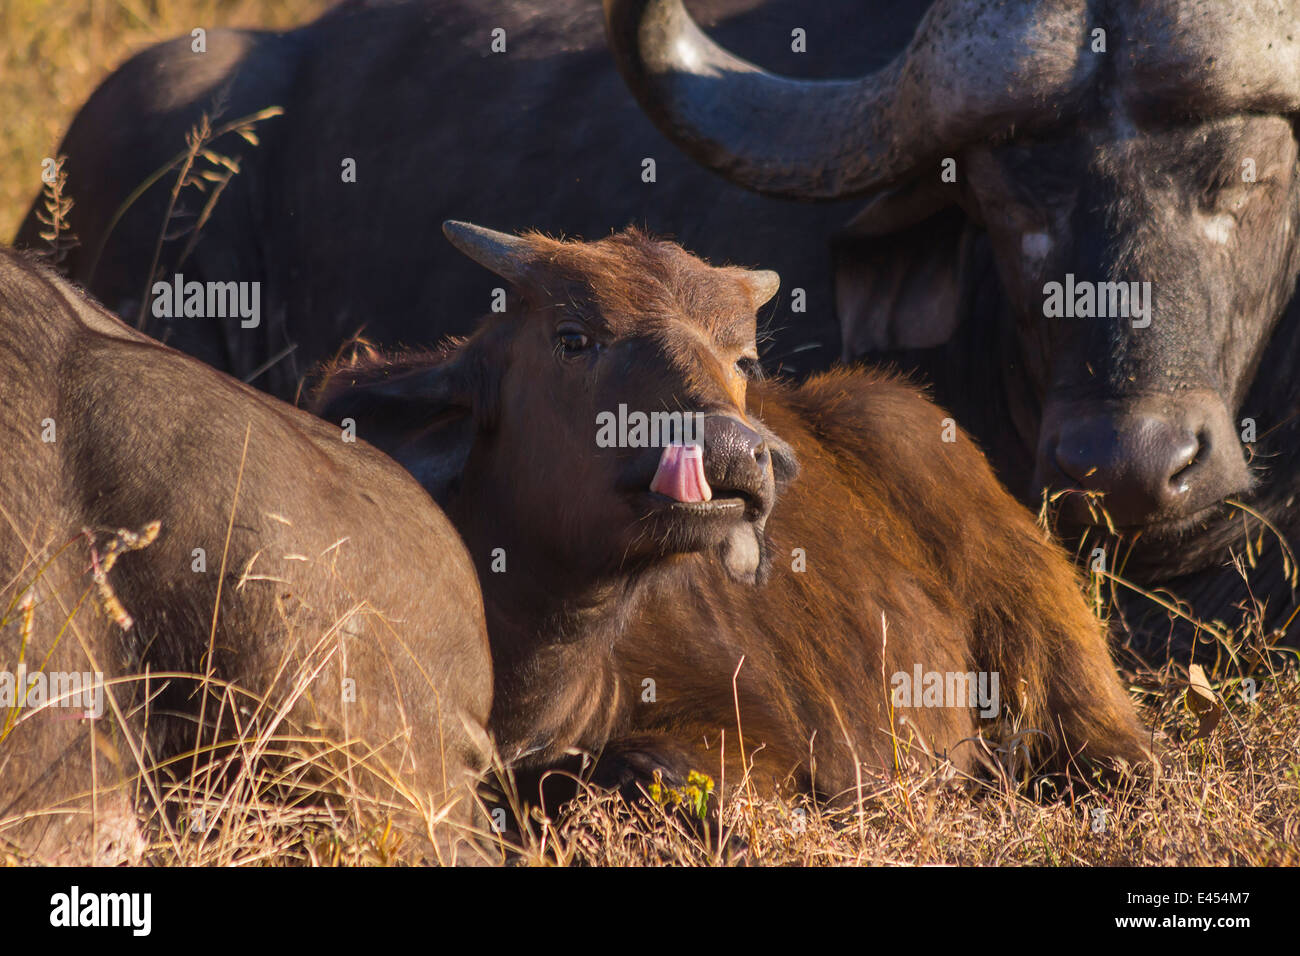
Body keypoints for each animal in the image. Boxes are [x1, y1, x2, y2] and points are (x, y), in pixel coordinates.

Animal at [313, 221, 1154, 810]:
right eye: (573, 338)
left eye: (743, 357)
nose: (734, 453)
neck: (538, 674)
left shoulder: (765, 737)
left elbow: (650, 770)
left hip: (1056, 654)